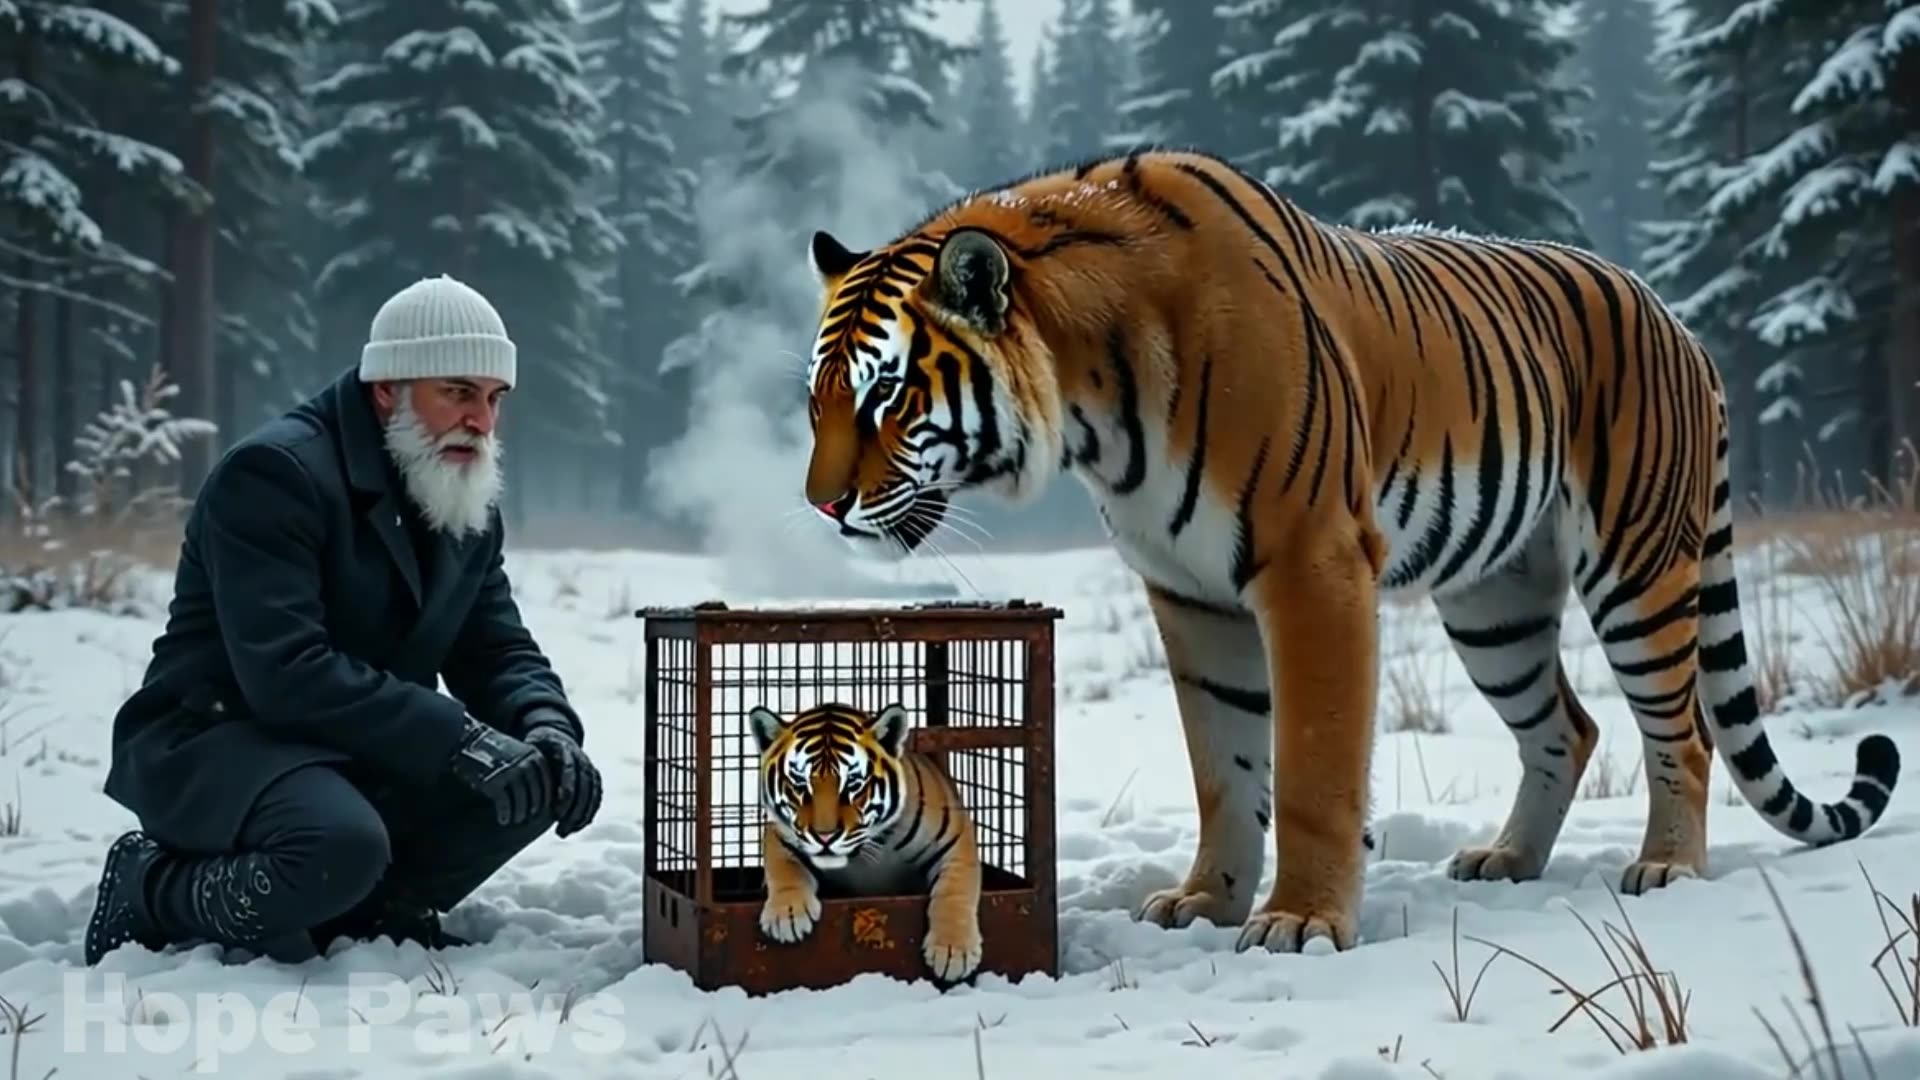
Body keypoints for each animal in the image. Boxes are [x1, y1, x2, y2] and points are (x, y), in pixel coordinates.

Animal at [746, 700, 985, 982]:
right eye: (800, 785)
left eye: (852, 784)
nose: (824, 836)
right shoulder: (782, 835)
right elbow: (785, 869)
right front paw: (788, 917)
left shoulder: (954, 842)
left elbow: (953, 891)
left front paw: (952, 952)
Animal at [792, 146, 1901, 956]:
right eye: (818, 400)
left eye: (885, 394)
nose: (822, 507)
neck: (1094, 407)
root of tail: (1681, 321)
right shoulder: (1188, 592)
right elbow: (1223, 765)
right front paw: (1206, 901)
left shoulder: (1310, 565)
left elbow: (1313, 769)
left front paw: (1300, 920)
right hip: (1496, 605)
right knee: (1568, 727)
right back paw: (1509, 859)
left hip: (1639, 566)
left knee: (1685, 732)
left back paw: (1667, 867)